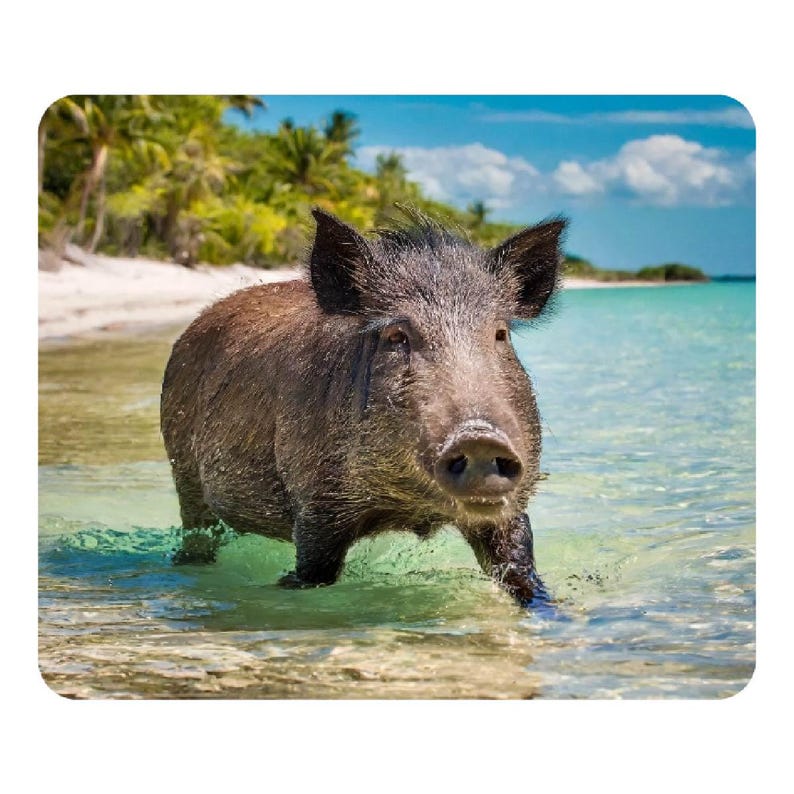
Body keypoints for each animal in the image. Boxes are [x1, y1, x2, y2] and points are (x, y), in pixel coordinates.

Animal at [160, 208, 566, 606]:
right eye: (396, 335)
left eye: (500, 333)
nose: (479, 437)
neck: (410, 505)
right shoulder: (315, 506)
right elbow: (312, 574)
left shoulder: (511, 511)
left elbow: (521, 569)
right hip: (183, 473)